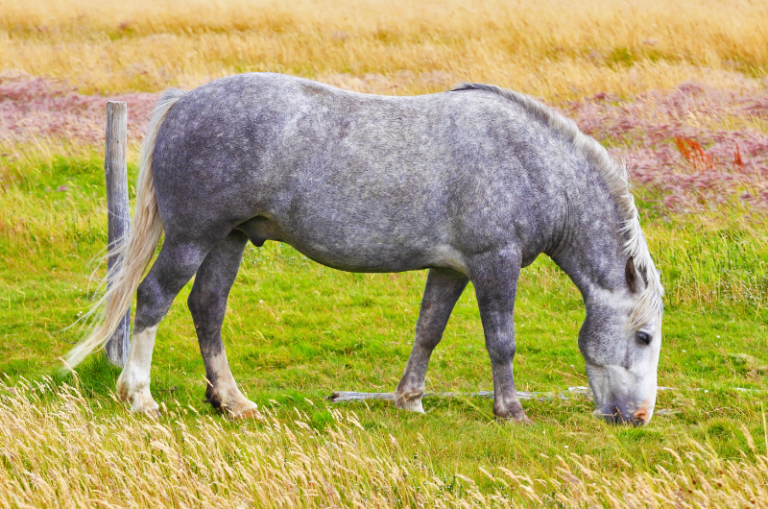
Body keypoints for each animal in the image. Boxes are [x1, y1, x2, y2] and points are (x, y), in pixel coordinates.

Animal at [67, 73, 664, 425]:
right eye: (644, 336)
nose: (638, 417)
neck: (531, 164)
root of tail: (184, 101)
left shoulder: (452, 269)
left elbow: (428, 331)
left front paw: (410, 399)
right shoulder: (495, 262)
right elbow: (501, 341)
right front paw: (510, 410)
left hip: (228, 239)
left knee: (206, 308)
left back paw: (231, 401)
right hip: (193, 238)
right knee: (153, 299)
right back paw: (139, 395)